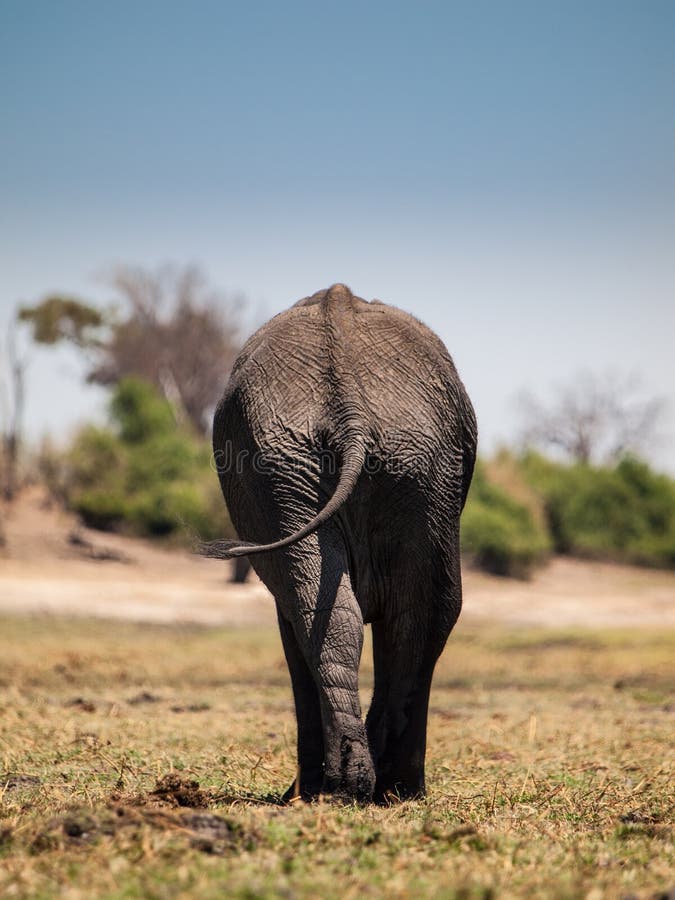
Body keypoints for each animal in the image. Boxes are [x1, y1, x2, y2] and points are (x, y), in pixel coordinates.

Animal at [204, 284, 477, 803]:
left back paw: (359, 787)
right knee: (415, 613)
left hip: (392, 463)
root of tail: (348, 408)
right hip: (339, 466)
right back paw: (366, 787)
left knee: (402, 611)